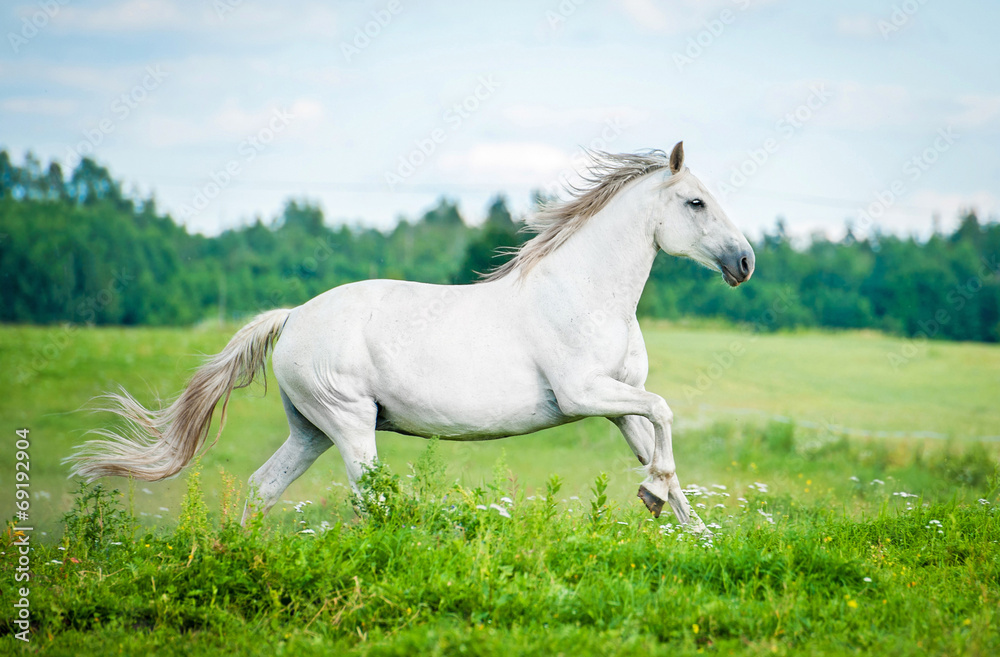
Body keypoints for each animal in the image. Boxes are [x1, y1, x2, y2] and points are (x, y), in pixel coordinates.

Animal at [68, 141, 754, 531]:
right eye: (695, 203)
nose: (745, 262)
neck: (583, 293)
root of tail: (294, 317)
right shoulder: (584, 394)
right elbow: (664, 414)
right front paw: (655, 498)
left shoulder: (617, 406)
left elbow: (662, 445)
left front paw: (694, 533)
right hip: (348, 425)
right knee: (366, 501)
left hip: (310, 431)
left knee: (262, 490)